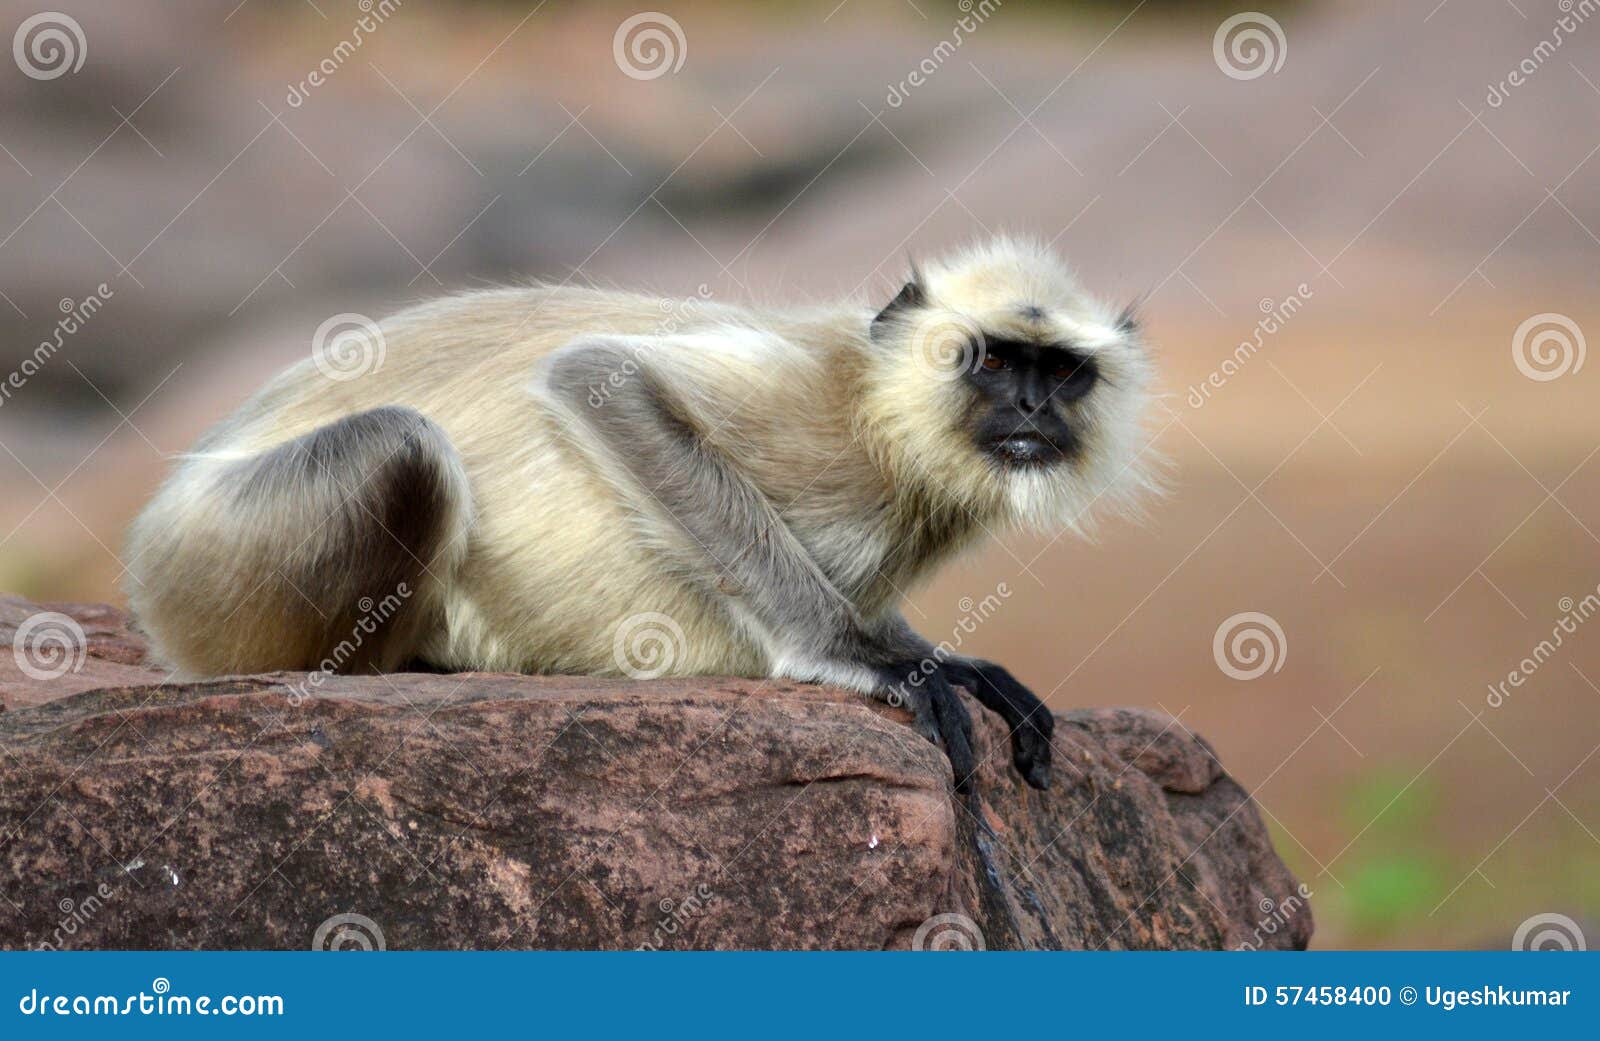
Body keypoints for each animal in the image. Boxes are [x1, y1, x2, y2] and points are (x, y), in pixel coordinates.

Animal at [124, 236, 1156, 792]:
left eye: (1063, 371)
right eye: (993, 360)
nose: (1031, 406)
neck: (886, 419)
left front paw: (934, 652)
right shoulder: (808, 403)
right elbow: (601, 376)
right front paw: (859, 655)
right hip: (210, 561)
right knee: (400, 440)